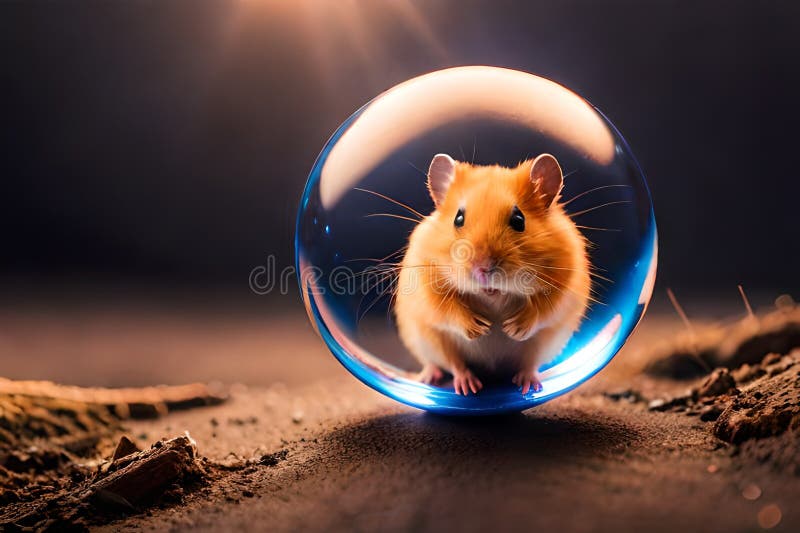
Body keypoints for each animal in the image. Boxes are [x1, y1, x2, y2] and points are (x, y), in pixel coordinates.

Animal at [394, 153, 591, 395]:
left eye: (519, 220)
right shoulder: (425, 285)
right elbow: (447, 309)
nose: (483, 269)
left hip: (543, 344)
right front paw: (481, 328)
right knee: (452, 364)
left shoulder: (565, 284)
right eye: (458, 219)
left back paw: (528, 386)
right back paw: (459, 385)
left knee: (530, 363)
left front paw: (511, 328)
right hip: (431, 341)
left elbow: (543, 308)